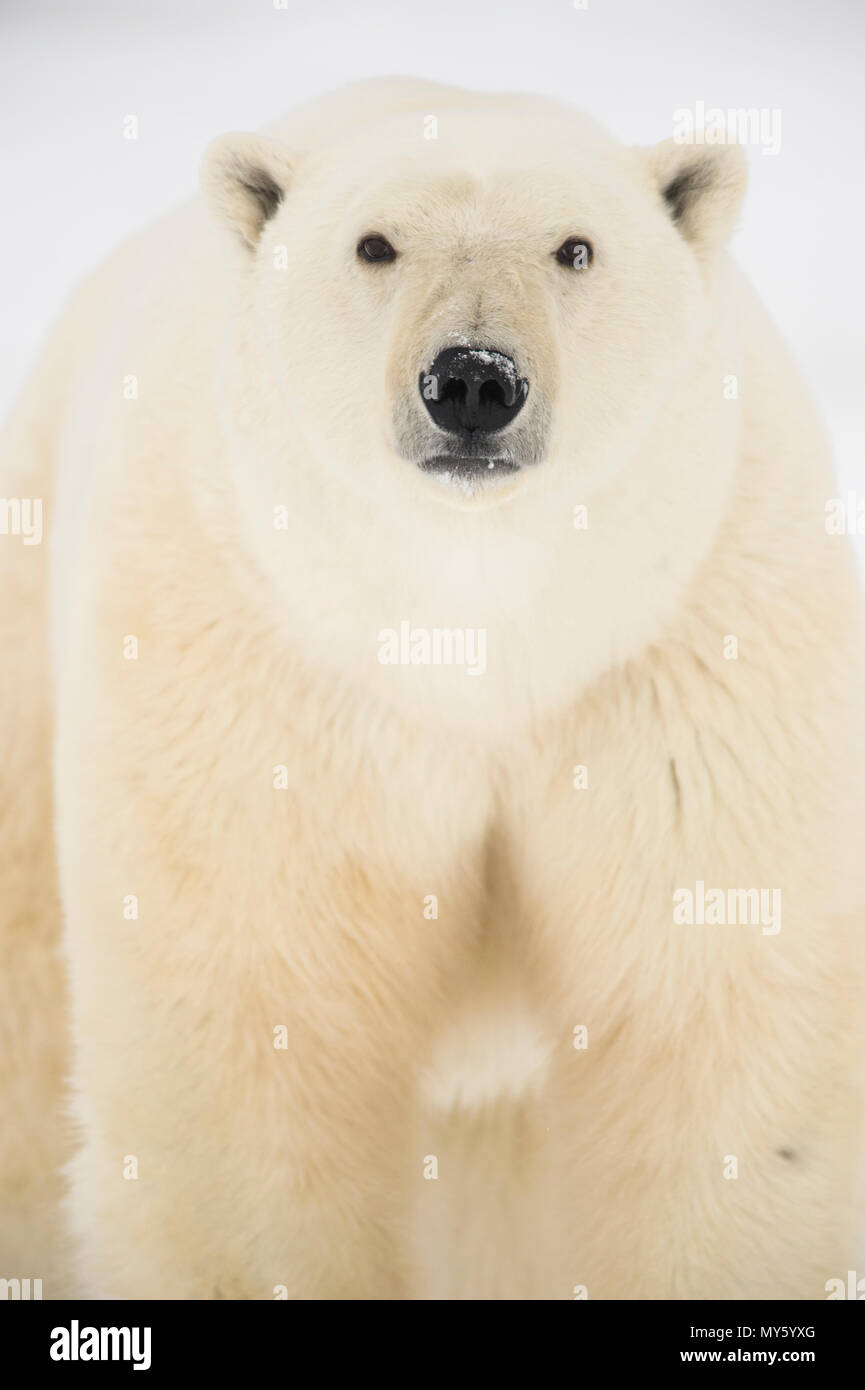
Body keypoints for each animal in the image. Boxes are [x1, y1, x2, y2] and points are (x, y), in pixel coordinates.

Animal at [1, 75, 863, 1300]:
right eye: (375, 244)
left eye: (574, 247)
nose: (471, 380)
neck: (479, 636)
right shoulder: (256, 664)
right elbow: (250, 1044)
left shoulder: (682, 667)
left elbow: (711, 1028)